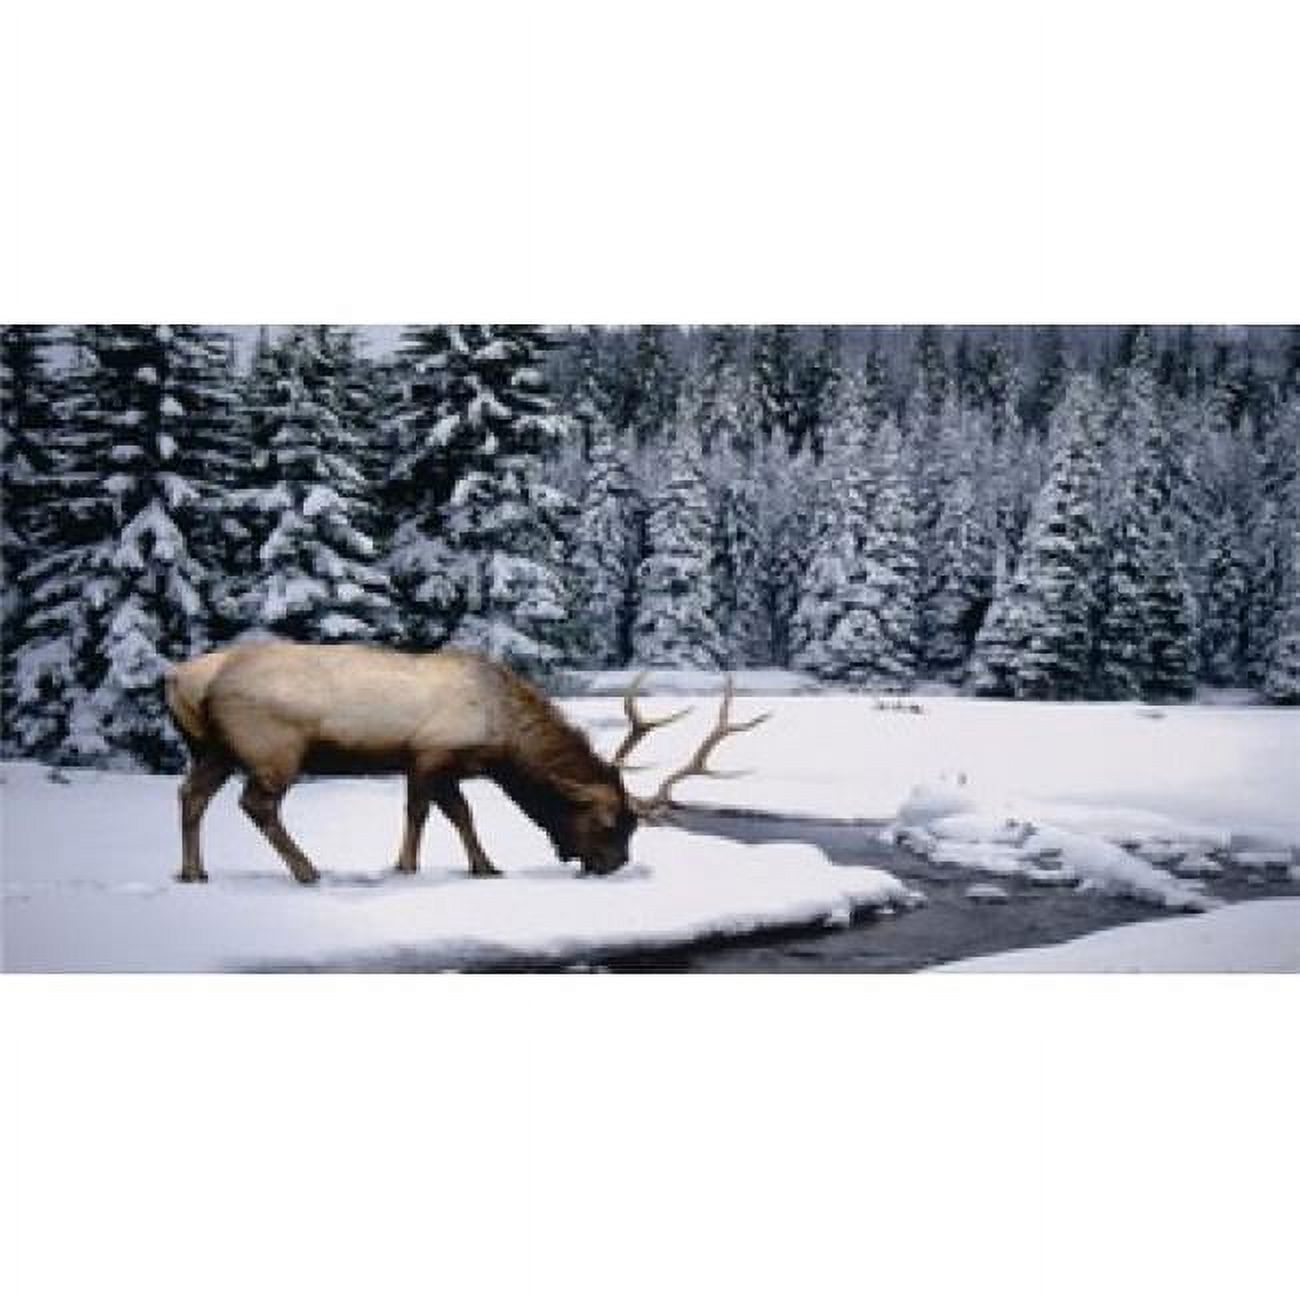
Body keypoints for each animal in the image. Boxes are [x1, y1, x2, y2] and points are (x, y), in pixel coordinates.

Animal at [163, 640, 769, 885]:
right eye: (608, 823)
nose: (614, 865)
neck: (502, 741)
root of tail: (181, 679)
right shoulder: (429, 754)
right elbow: (423, 814)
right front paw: (406, 866)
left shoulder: (448, 767)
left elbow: (461, 816)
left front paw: (485, 865)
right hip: (273, 748)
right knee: (256, 804)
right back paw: (307, 871)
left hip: (211, 749)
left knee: (190, 794)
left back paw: (193, 871)